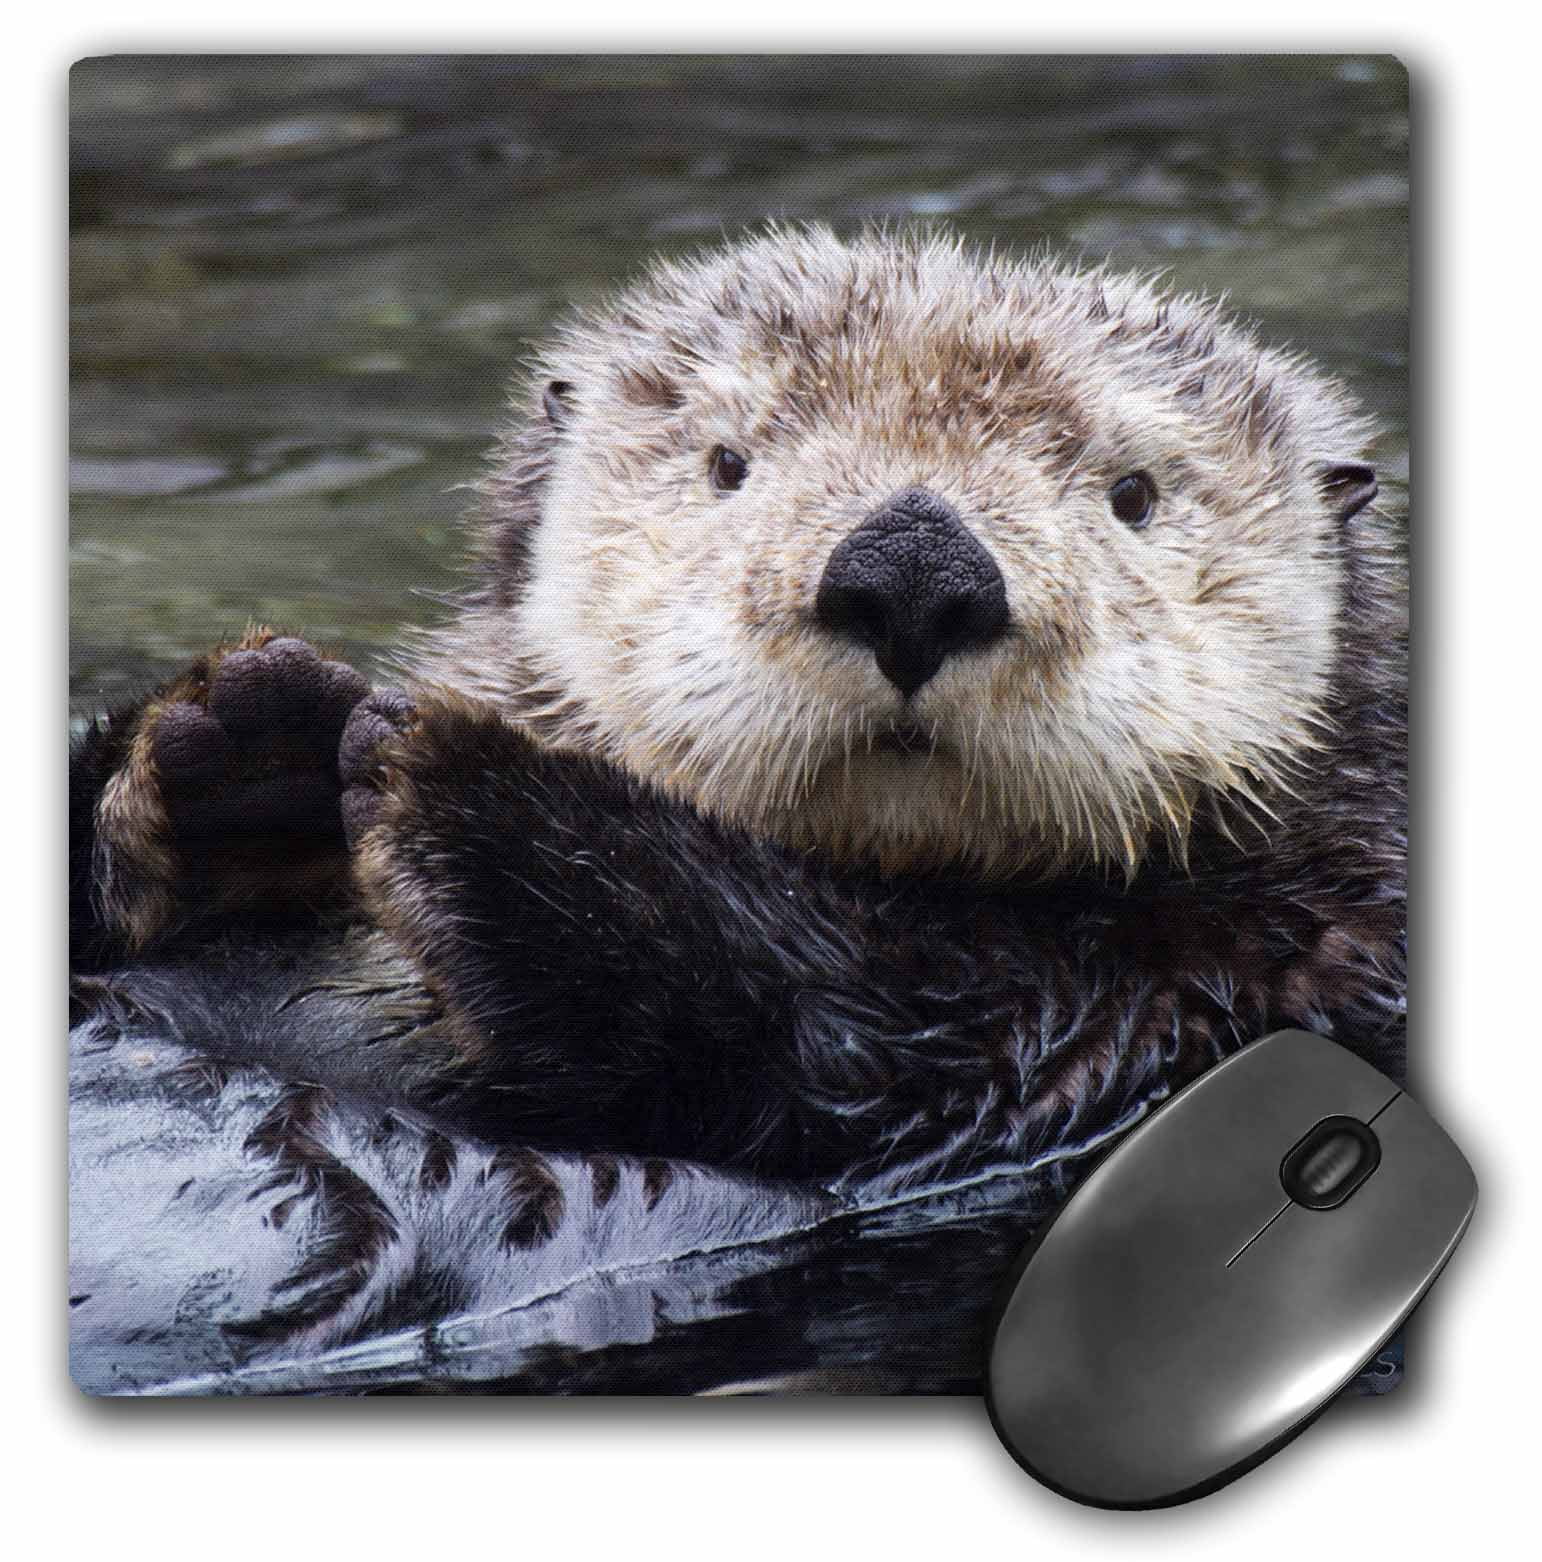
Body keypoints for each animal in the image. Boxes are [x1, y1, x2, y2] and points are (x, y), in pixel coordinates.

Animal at [69, 227, 1405, 1392]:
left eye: (1135, 493)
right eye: (728, 463)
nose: (914, 568)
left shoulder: (1182, 1010)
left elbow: (839, 1027)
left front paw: (463, 788)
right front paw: (242, 734)